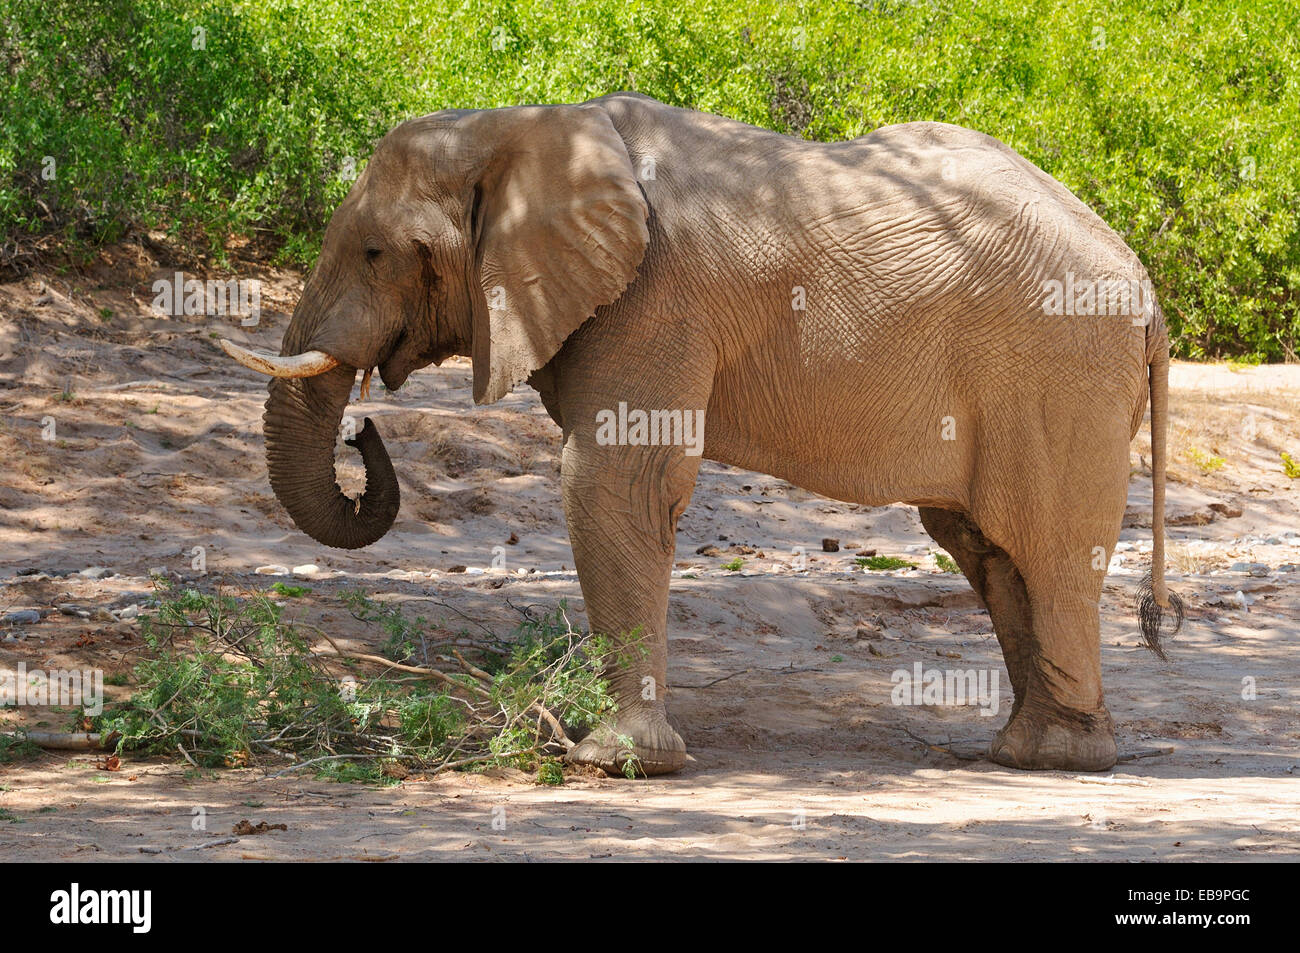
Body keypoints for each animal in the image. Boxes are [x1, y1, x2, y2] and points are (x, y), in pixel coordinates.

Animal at [220, 92, 1182, 776]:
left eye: (377, 253)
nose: (362, 434)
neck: (523, 126)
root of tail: (1144, 284)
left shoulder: (653, 298)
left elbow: (612, 479)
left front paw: (617, 764)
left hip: (1059, 368)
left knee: (1042, 546)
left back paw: (1058, 758)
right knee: (987, 546)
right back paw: (1029, 754)